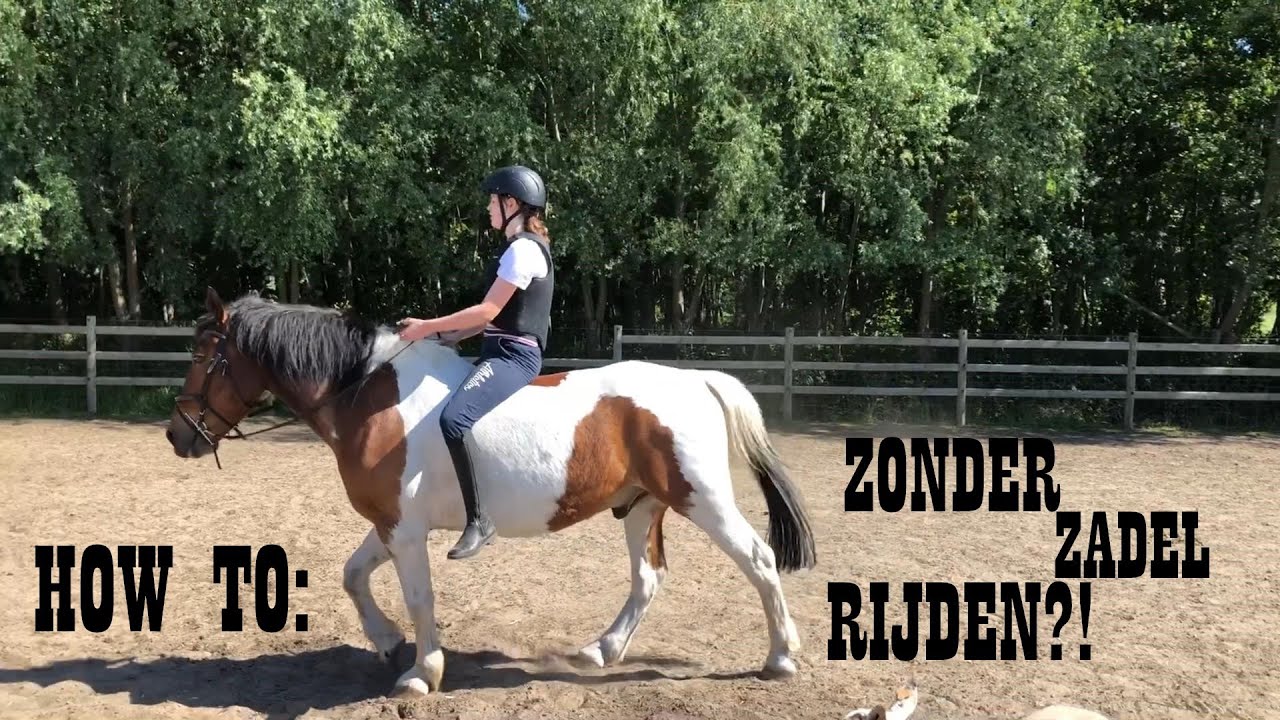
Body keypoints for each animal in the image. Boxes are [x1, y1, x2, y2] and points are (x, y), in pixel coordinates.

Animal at [164, 287, 817, 697]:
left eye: (201, 355)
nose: (177, 434)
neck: (369, 395)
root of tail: (697, 381)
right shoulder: (389, 523)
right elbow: (352, 576)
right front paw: (388, 643)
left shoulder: (404, 530)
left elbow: (419, 597)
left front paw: (421, 672)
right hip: (640, 505)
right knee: (647, 578)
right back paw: (601, 651)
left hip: (701, 499)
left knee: (758, 560)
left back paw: (781, 658)